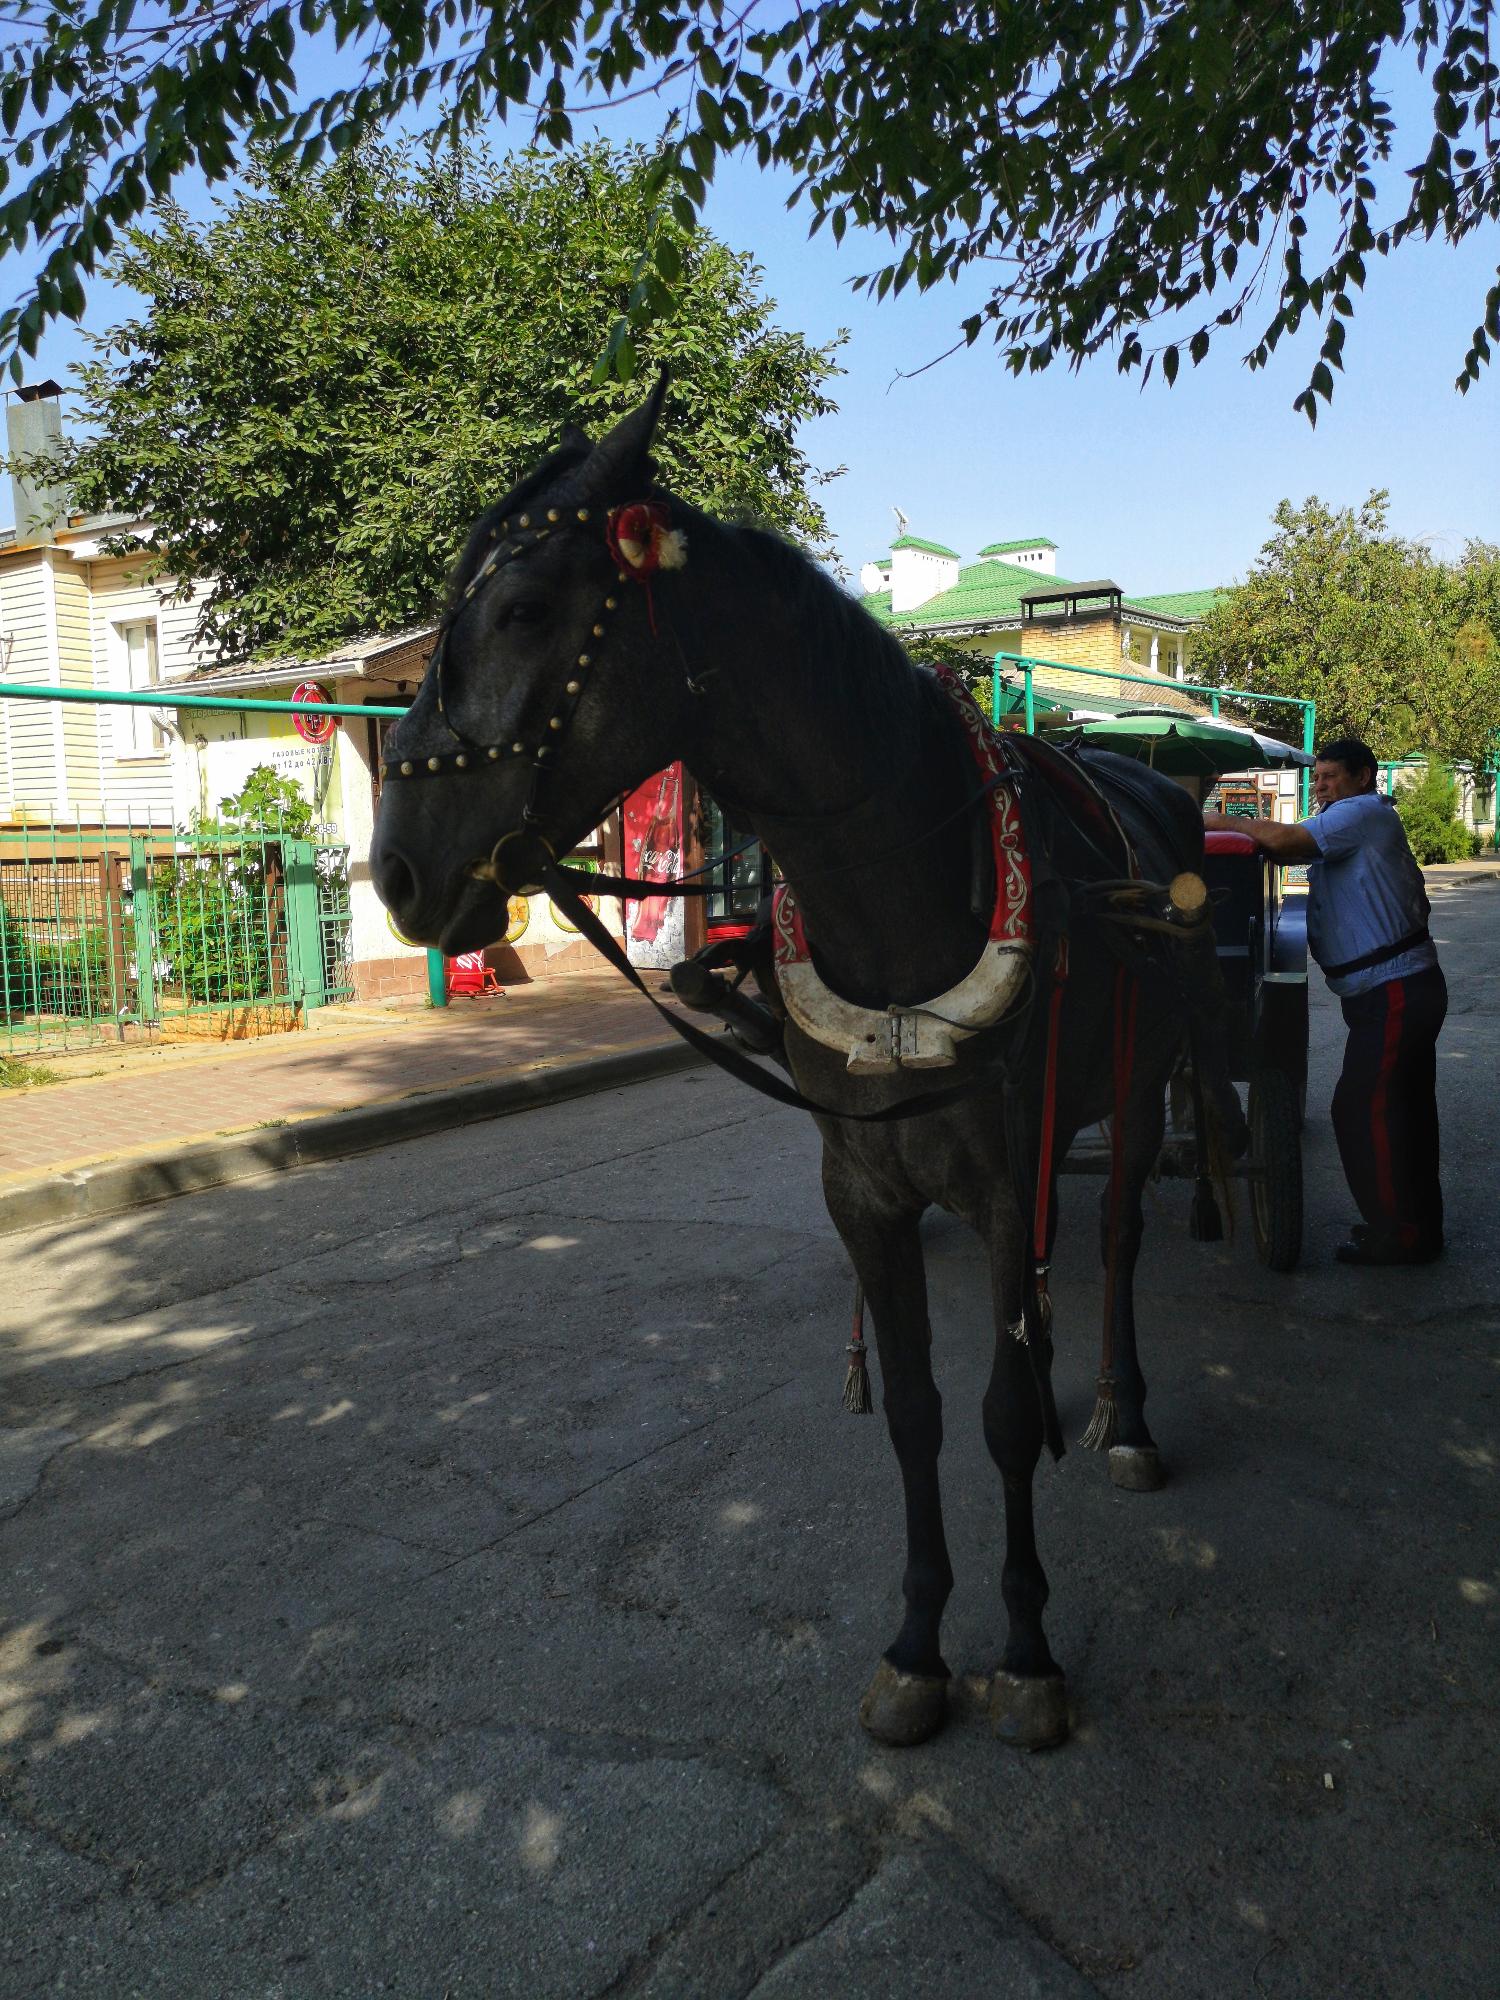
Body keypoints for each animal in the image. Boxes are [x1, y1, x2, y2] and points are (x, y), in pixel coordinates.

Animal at [370, 386, 1240, 1752]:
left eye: (524, 611)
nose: (396, 866)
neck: (900, 889)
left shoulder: (1010, 1188)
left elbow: (1003, 1412)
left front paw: (1027, 1649)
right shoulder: (866, 1196)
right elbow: (922, 1413)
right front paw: (920, 1644)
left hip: (1145, 1092)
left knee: (1116, 1244)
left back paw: (1123, 1412)